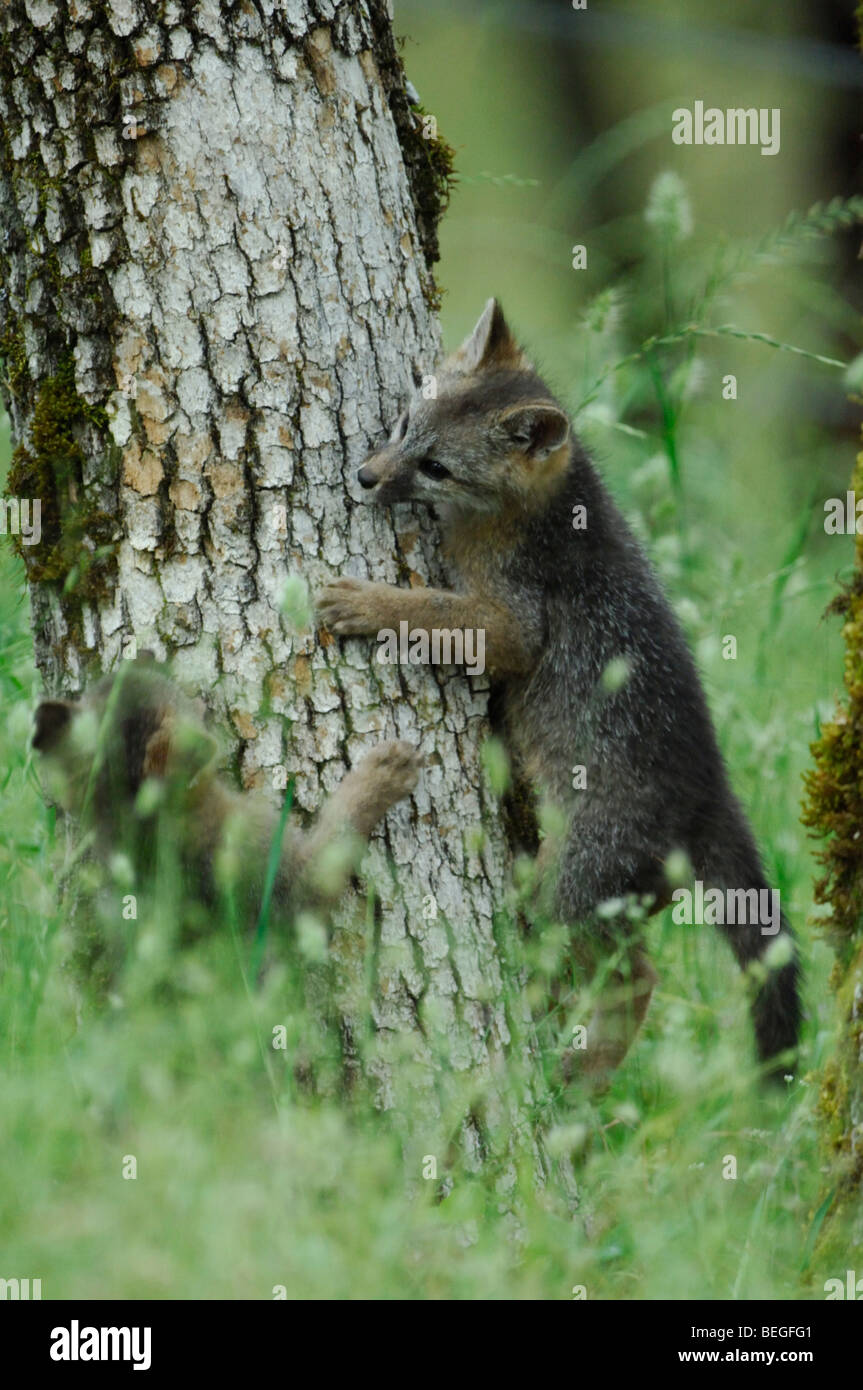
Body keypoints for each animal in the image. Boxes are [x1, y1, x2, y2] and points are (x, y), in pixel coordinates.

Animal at [317, 297, 801, 1083]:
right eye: (402, 426)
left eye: (436, 467)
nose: (363, 476)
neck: (541, 513)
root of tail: (711, 789)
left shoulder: (512, 626)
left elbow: (429, 608)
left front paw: (365, 602)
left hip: (564, 893)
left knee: (635, 977)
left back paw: (571, 1070)